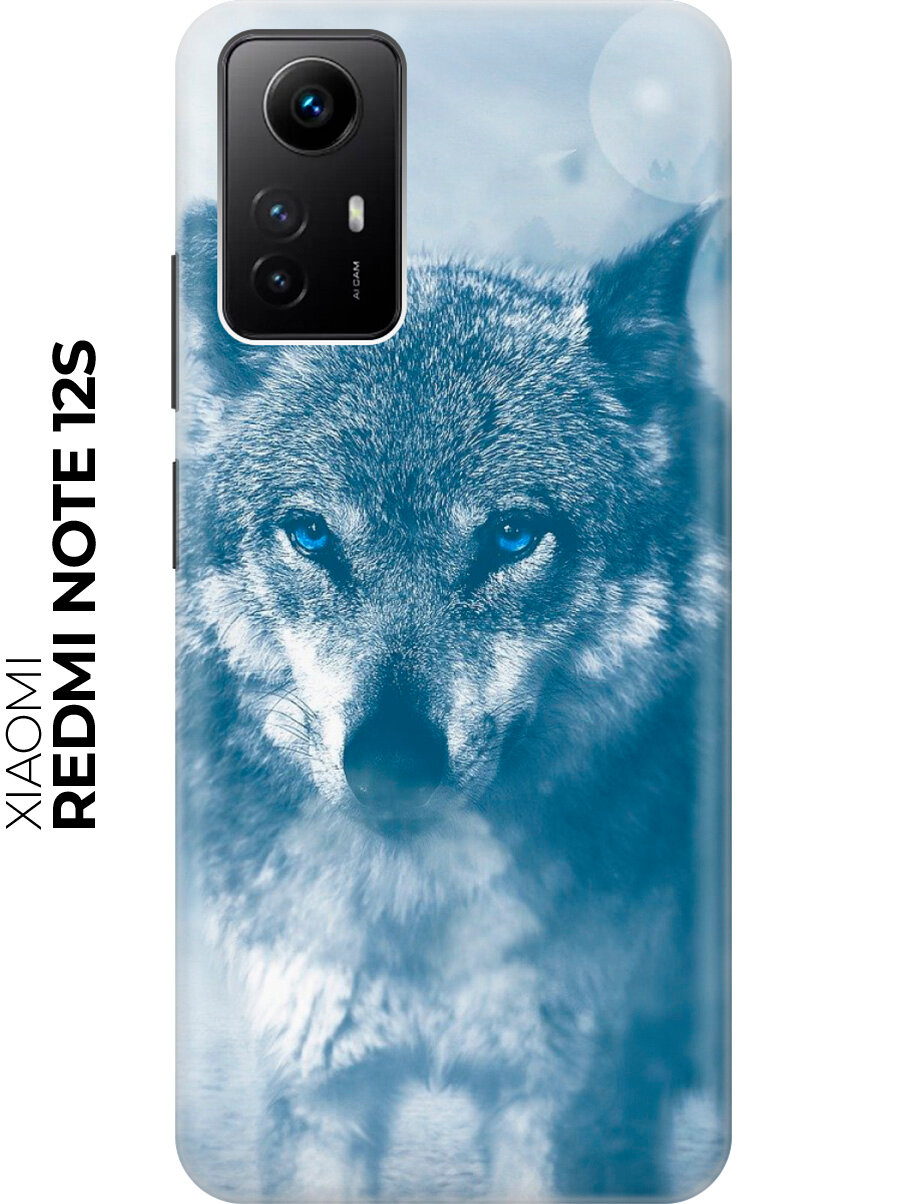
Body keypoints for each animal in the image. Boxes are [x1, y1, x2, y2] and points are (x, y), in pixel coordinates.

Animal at [177, 203, 729, 1201]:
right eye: (310, 534)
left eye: (512, 535)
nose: (392, 765)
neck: (416, 915)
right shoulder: (321, 1089)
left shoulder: (570, 1101)